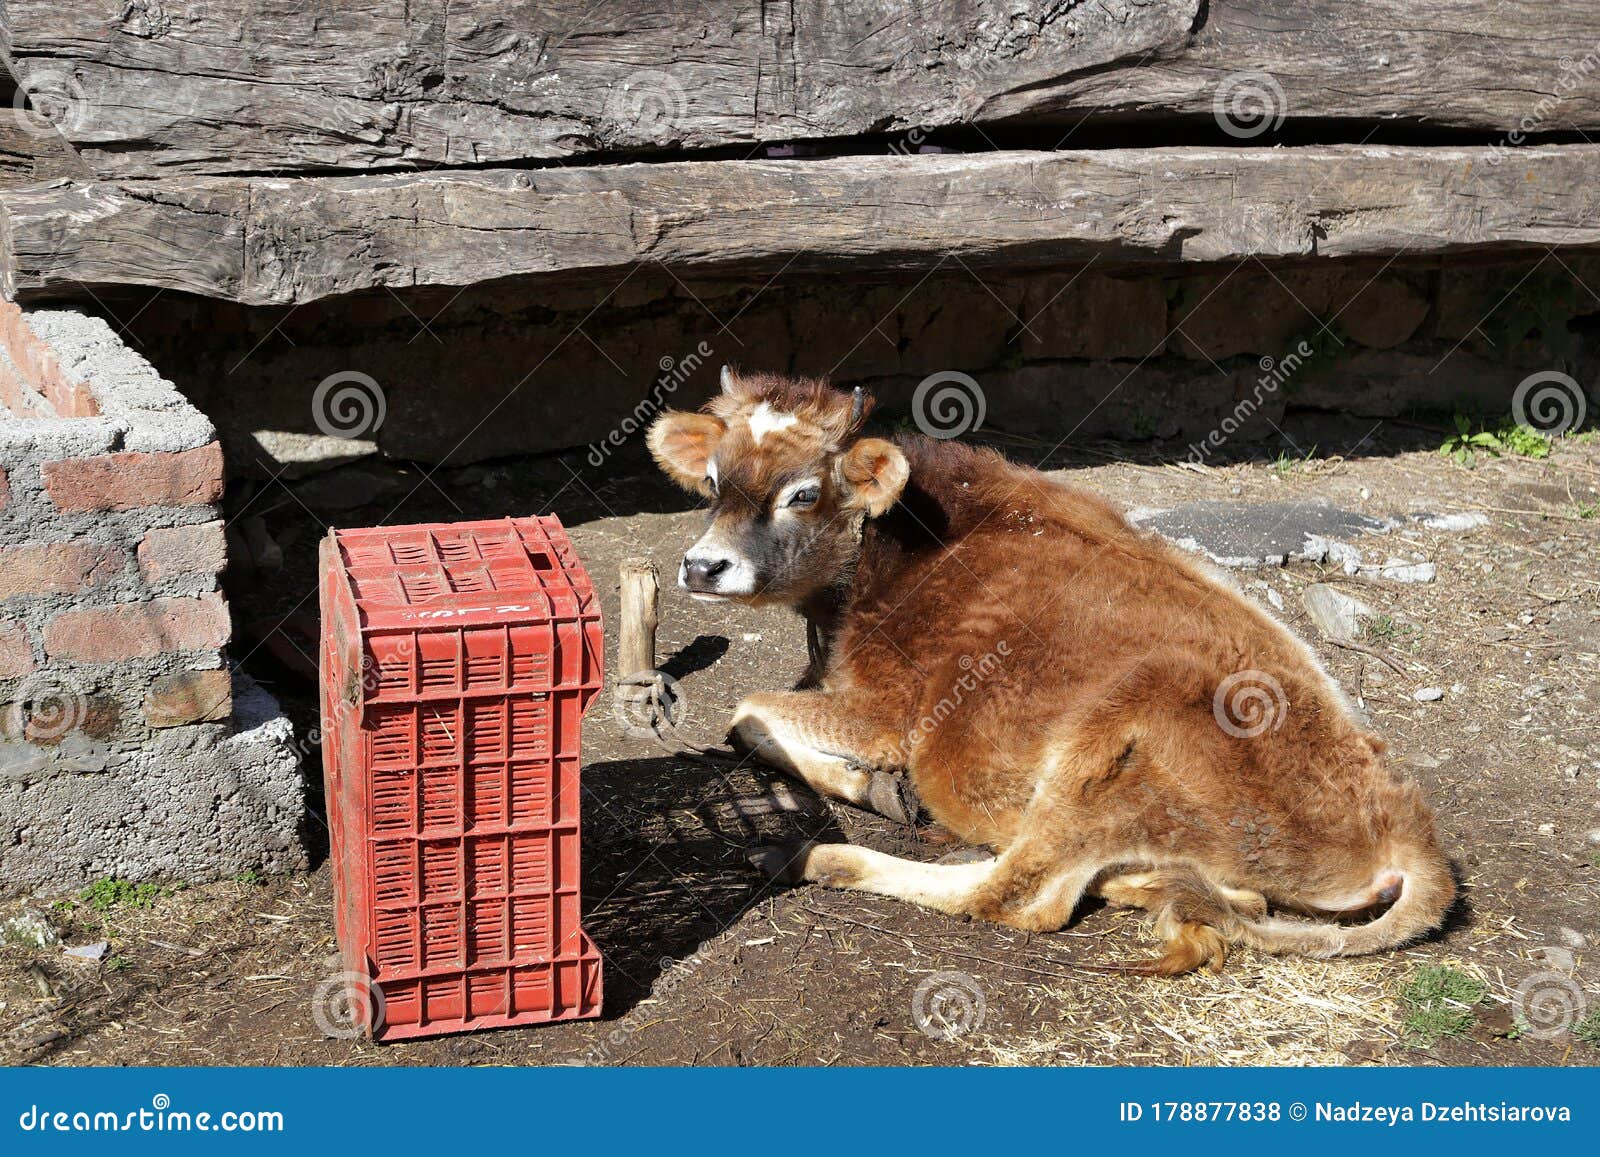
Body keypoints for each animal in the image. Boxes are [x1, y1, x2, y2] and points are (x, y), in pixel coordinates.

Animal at [647, 368, 1455, 974]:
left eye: (805, 493)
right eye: (713, 481)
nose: (701, 566)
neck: (900, 546)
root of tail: (1403, 823)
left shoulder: (888, 713)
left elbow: (744, 713)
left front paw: (865, 784)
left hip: (1113, 742)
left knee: (1015, 896)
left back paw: (806, 854)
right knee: (1227, 899)